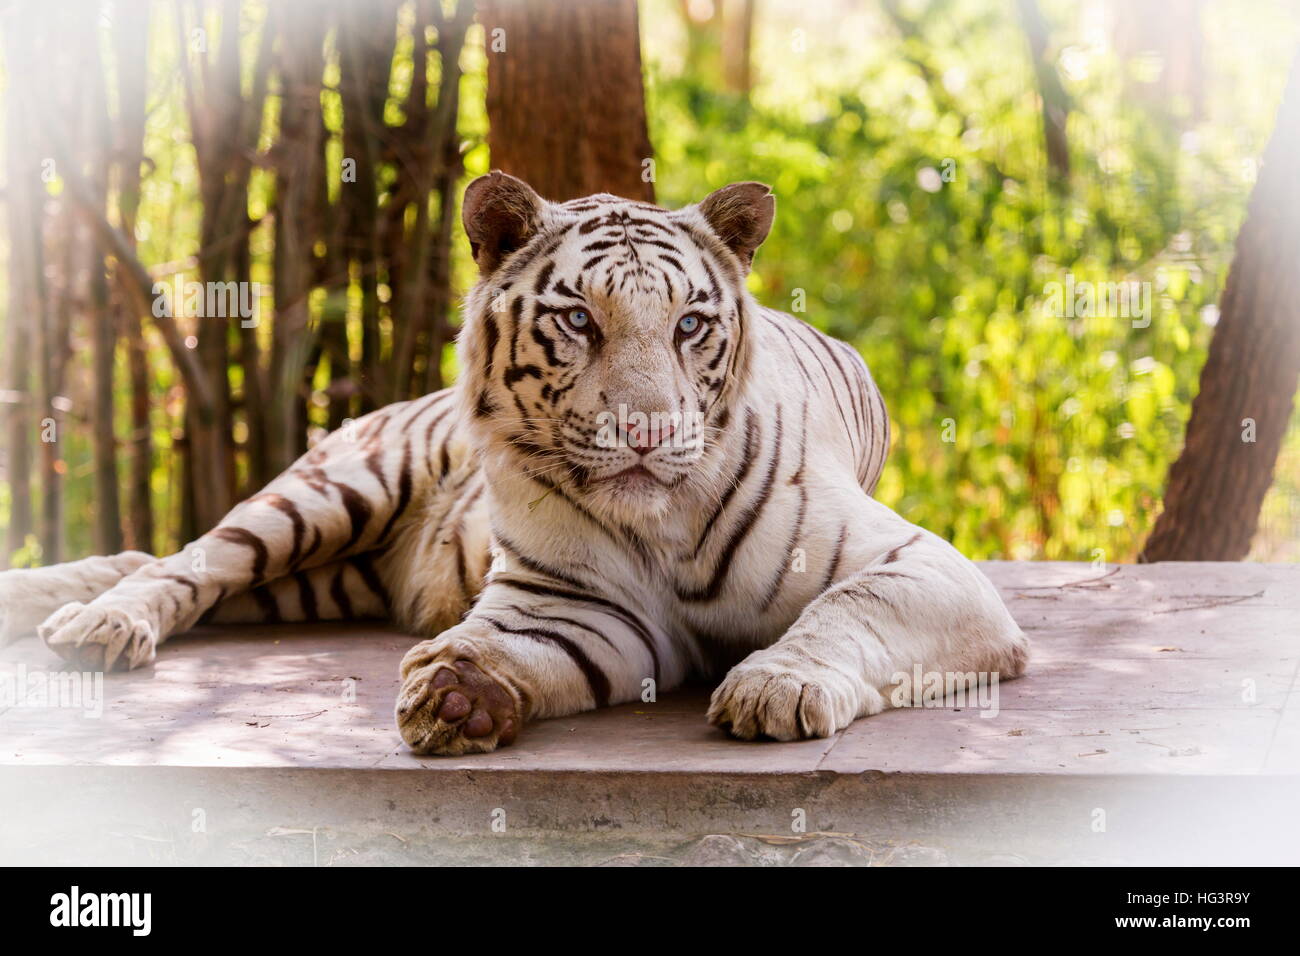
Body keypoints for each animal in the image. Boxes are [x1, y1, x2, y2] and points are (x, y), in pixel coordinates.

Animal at [0, 172, 1028, 755]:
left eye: (690, 324)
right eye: (579, 319)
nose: (648, 433)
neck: (661, 526)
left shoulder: (924, 567)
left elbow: (846, 612)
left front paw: (776, 685)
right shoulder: (574, 600)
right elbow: (525, 644)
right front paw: (461, 690)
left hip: (314, 580)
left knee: (179, 569)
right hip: (333, 495)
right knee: (184, 561)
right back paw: (98, 625)